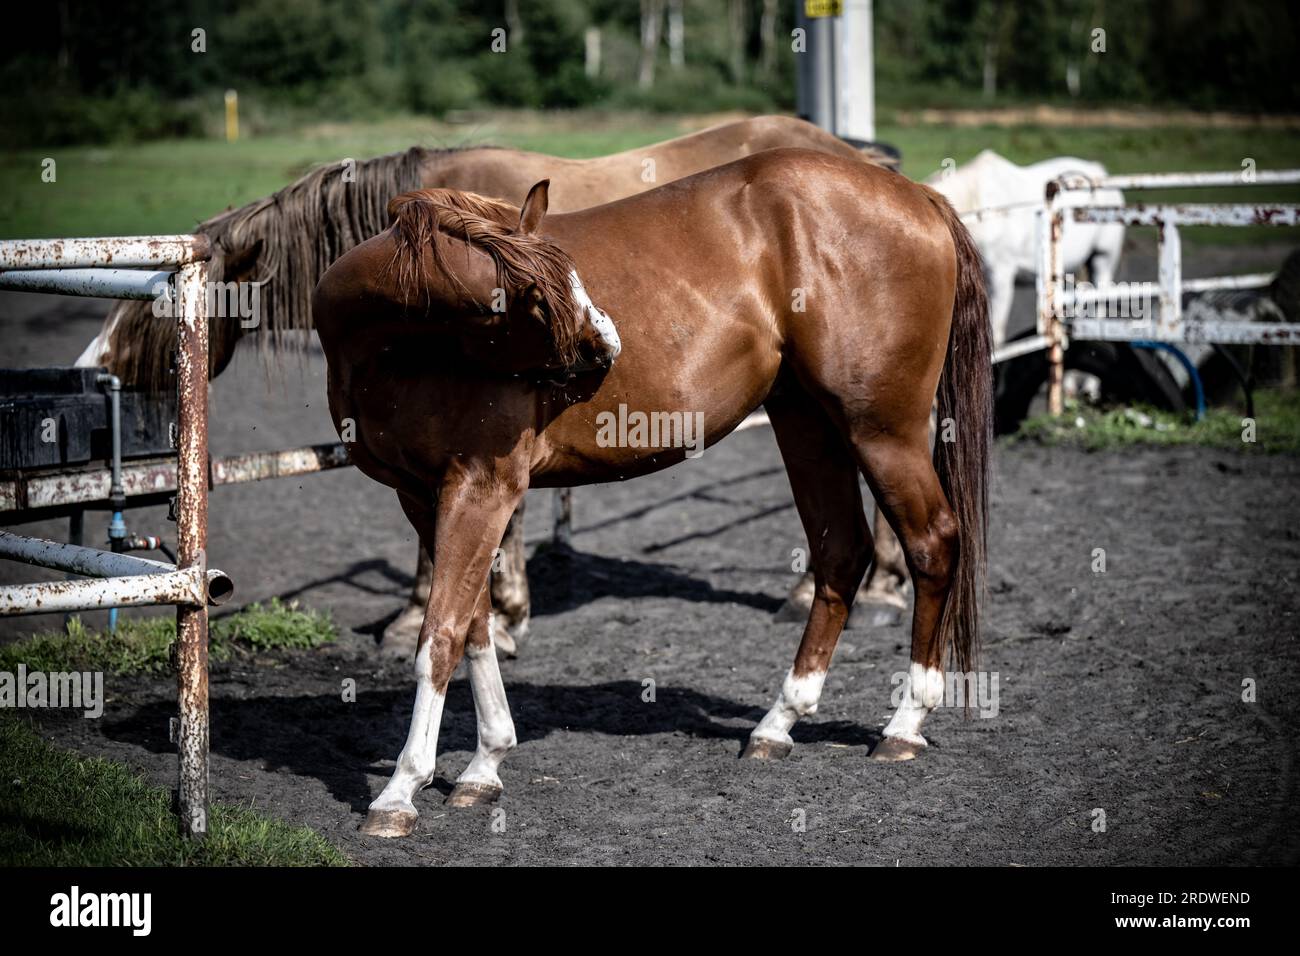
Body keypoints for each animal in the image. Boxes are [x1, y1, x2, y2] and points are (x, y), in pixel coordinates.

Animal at [311, 147, 992, 837]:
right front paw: (485, 764)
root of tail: (915, 195)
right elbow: (472, 628)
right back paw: (778, 724)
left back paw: (904, 724)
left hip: (881, 430)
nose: (607, 346)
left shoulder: (482, 488)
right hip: (806, 419)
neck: (394, 350)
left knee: (932, 543)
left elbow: (441, 637)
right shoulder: (422, 496)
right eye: (533, 295)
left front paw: (401, 790)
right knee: (840, 554)